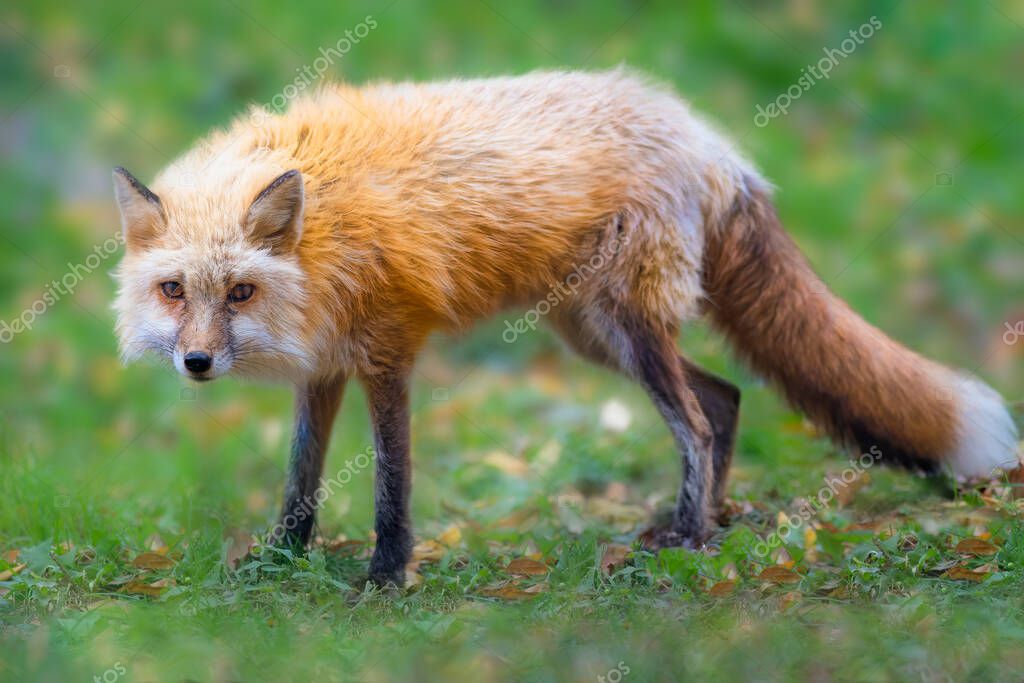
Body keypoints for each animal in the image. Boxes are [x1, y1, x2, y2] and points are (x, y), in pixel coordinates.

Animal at [112, 68, 1019, 586]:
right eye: (173, 290)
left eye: (239, 292)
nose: (197, 362)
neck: (328, 229)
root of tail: (710, 141)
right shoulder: (326, 364)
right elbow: (300, 480)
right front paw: (279, 562)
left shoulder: (389, 350)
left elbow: (389, 484)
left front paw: (386, 575)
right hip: (596, 332)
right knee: (725, 398)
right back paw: (707, 522)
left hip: (626, 326)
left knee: (696, 420)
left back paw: (688, 543)